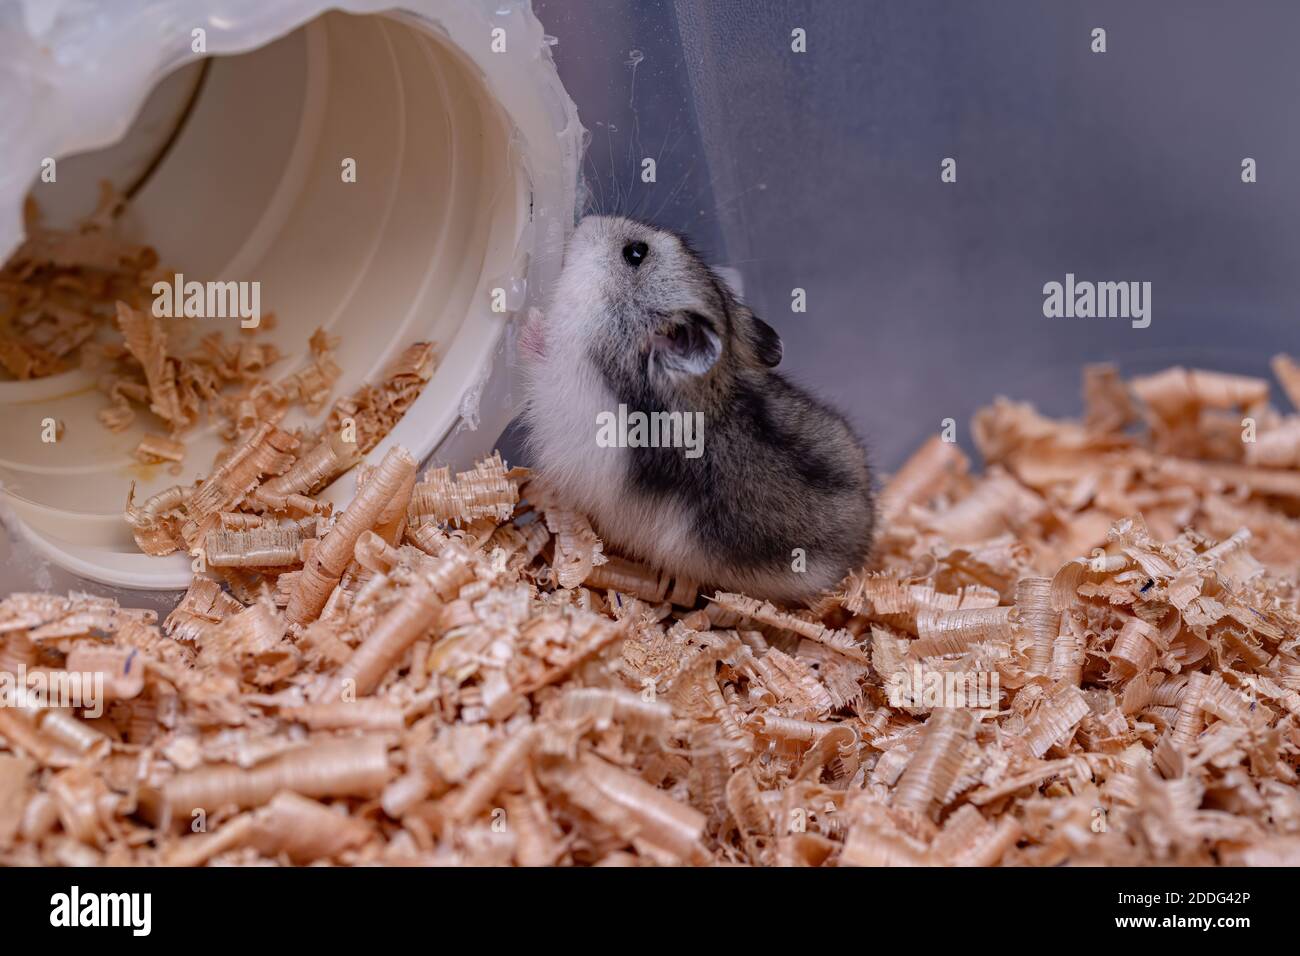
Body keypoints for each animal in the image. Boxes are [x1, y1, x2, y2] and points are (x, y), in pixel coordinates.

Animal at [520, 215, 875, 606]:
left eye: (635, 252)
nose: (585, 220)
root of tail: (863, 544)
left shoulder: (565, 403)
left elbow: (539, 365)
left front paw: (529, 322)